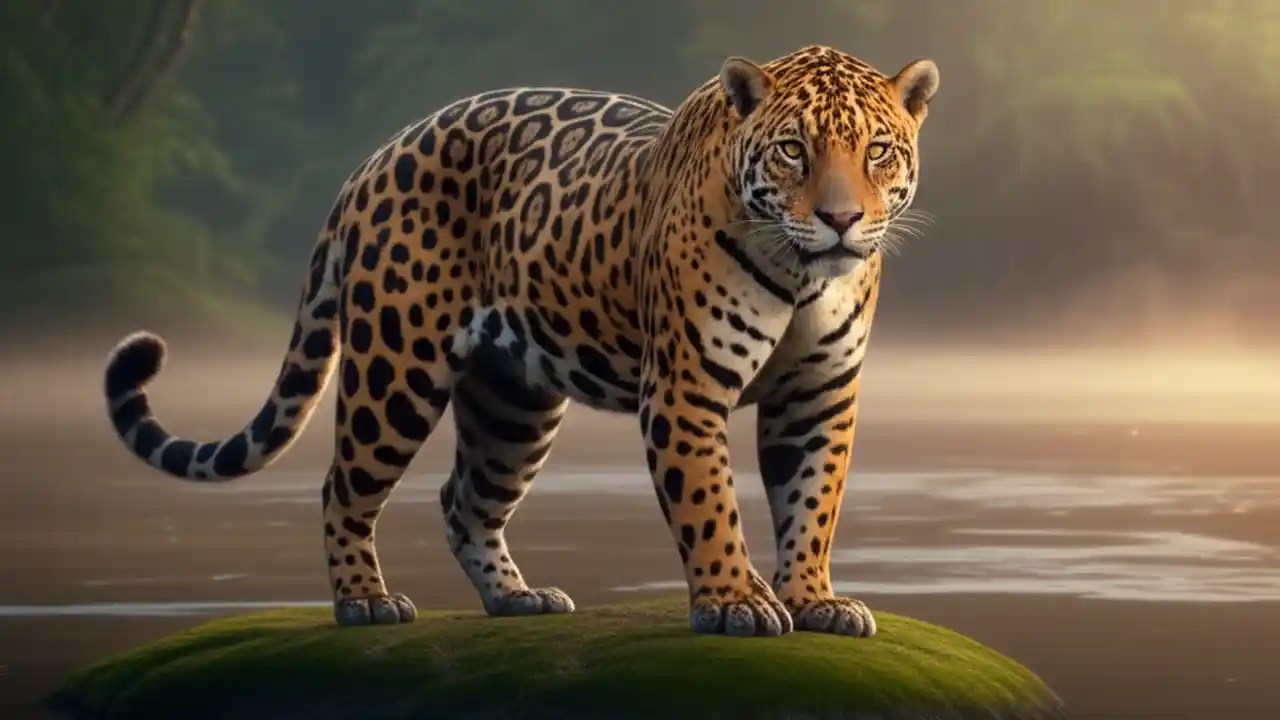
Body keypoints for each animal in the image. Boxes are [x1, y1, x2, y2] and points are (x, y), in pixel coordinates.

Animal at [103, 44, 939, 637]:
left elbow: (812, 503)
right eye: (794, 150)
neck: (801, 272)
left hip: (513, 402)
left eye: (878, 151)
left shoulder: (818, 395)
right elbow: (708, 503)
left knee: (462, 499)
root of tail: (376, 156)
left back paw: (518, 598)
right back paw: (364, 602)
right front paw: (735, 602)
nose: (841, 220)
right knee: (343, 486)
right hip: (394, 371)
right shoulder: (685, 388)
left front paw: (814, 599)